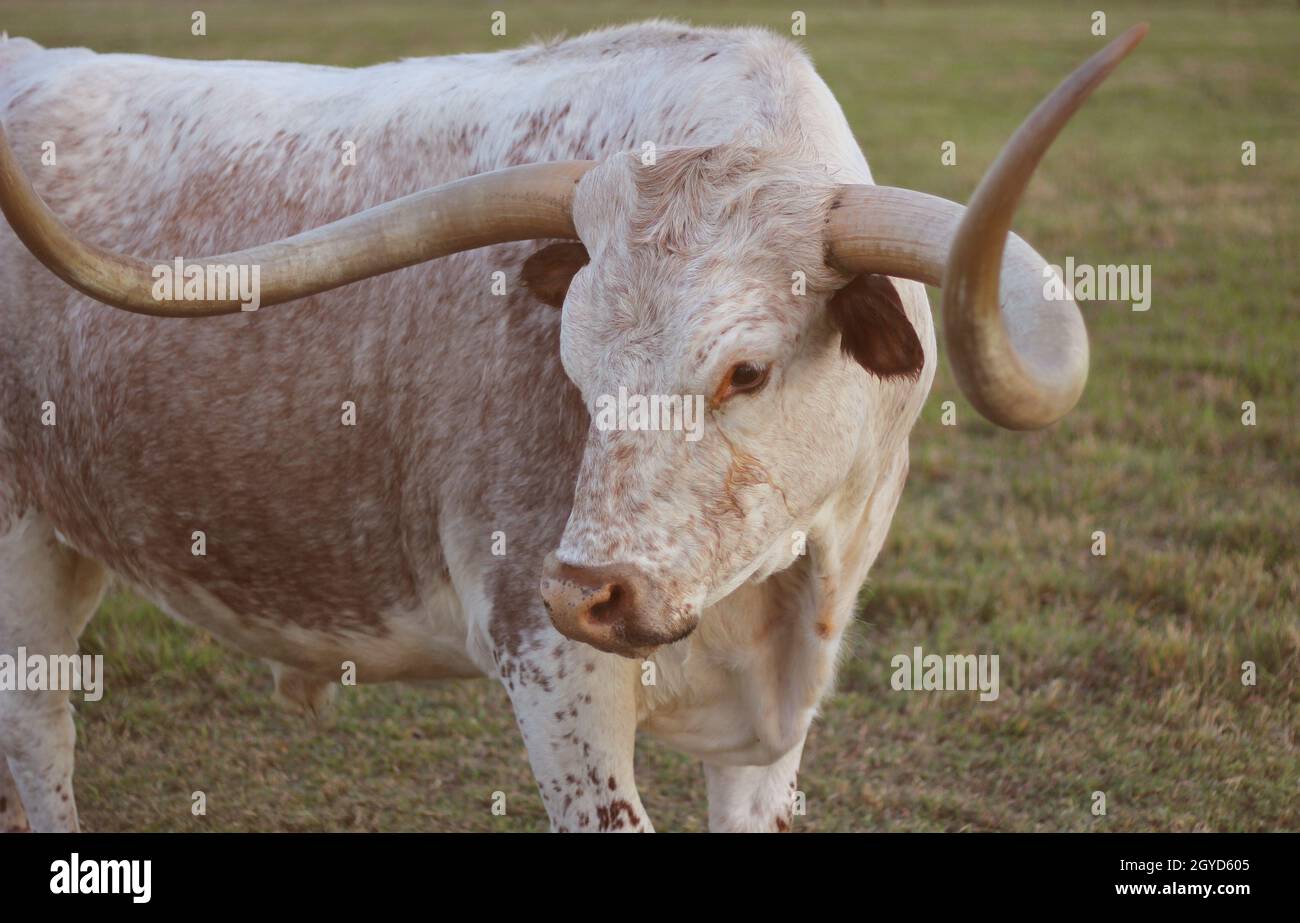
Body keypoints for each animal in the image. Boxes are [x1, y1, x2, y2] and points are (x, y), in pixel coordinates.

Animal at [0, 20, 1145, 832]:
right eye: (577, 369)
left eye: (746, 370)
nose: (588, 591)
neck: (771, 590)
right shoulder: (552, 671)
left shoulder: (784, 709)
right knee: (40, 731)